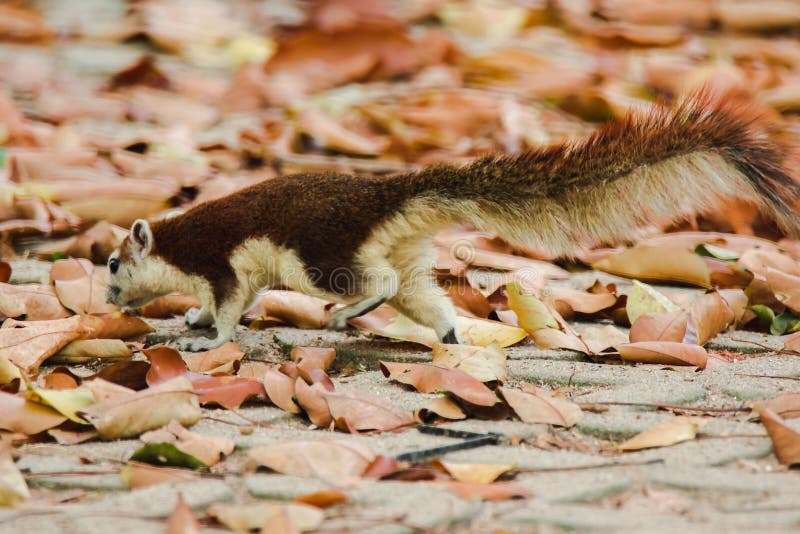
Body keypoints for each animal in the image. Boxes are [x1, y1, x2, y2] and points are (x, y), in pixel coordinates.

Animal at [105, 93, 800, 351]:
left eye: (112, 264)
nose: (110, 301)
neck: (172, 242)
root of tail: (383, 199)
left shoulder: (217, 261)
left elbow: (228, 307)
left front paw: (205, 337)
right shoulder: (234, 275)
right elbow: (230, 301)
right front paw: (192, 320)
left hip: (320, 256)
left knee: (375, 286)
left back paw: (348, 317)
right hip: (399, 259)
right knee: (419, 295)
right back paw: (451, 338)